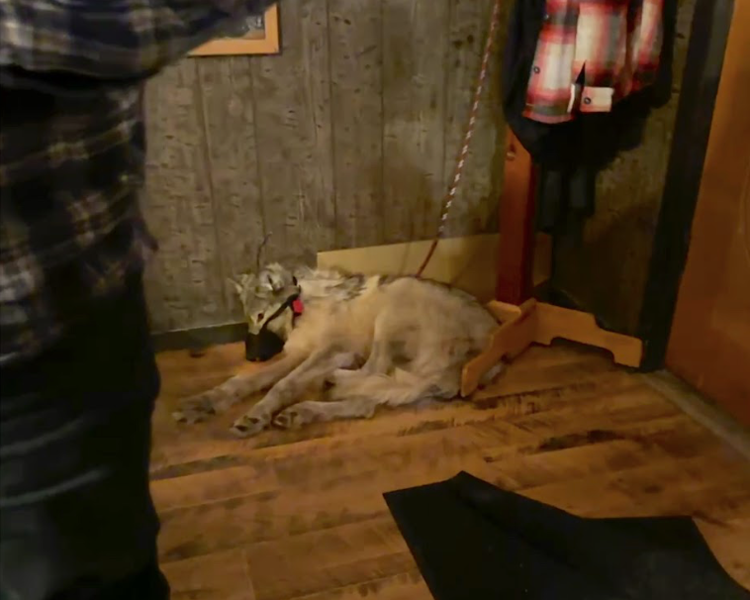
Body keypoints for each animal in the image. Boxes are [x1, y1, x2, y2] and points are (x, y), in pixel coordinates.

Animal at [172, 264, 502, 437]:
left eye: (261, 317)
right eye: (250, 320)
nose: (250, 357)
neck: (301, 308)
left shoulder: (332, 350)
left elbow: (282, 385)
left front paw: (257, 414)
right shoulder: (297, 354)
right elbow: (244, 381)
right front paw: (205, 402)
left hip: (395, 302)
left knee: (372, 371)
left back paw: (329, 385)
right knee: (365, 404)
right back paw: (305, 410)